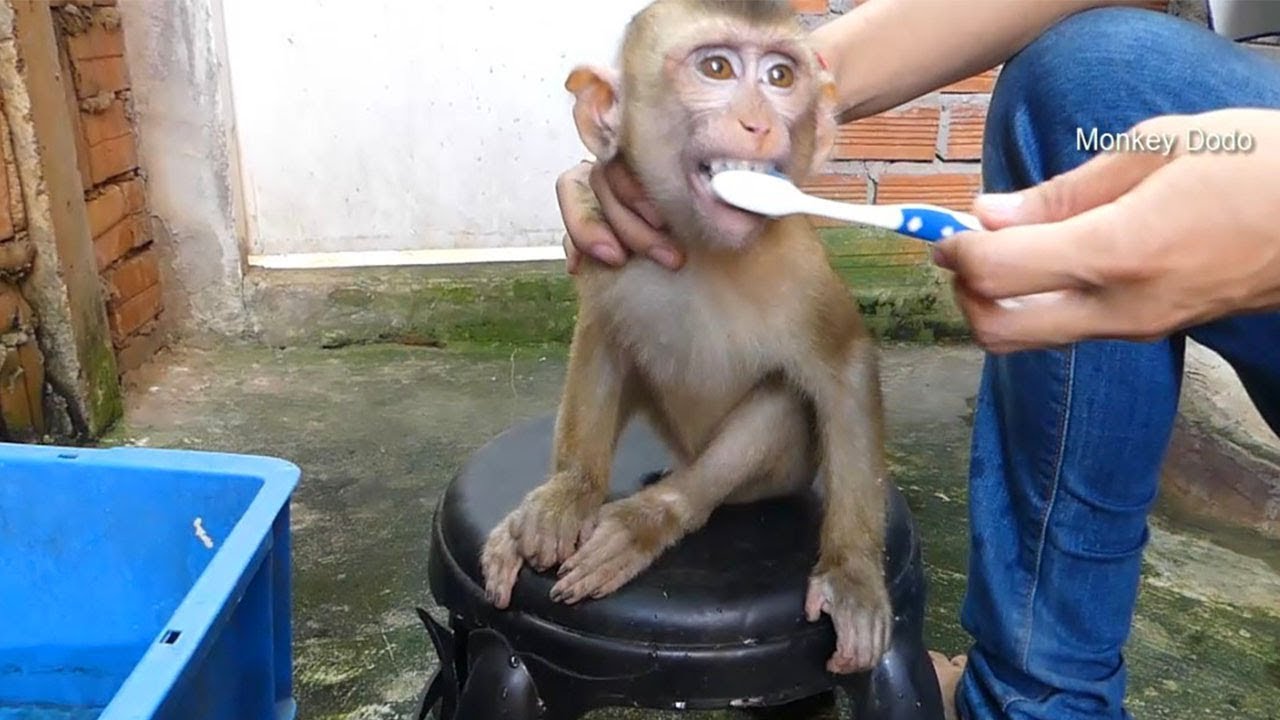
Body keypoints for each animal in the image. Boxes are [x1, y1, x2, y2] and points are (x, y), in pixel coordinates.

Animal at [481, 0, 891, 674]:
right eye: (717, 68)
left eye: (780, 77)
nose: (758, 124)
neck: (704, 247)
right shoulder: (611, 241)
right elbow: (603, 337)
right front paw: (567, 494)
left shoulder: (799, 265)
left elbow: (845, 367)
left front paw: (851, 575)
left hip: (777, 476)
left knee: (781, 403)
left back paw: (653, 516)